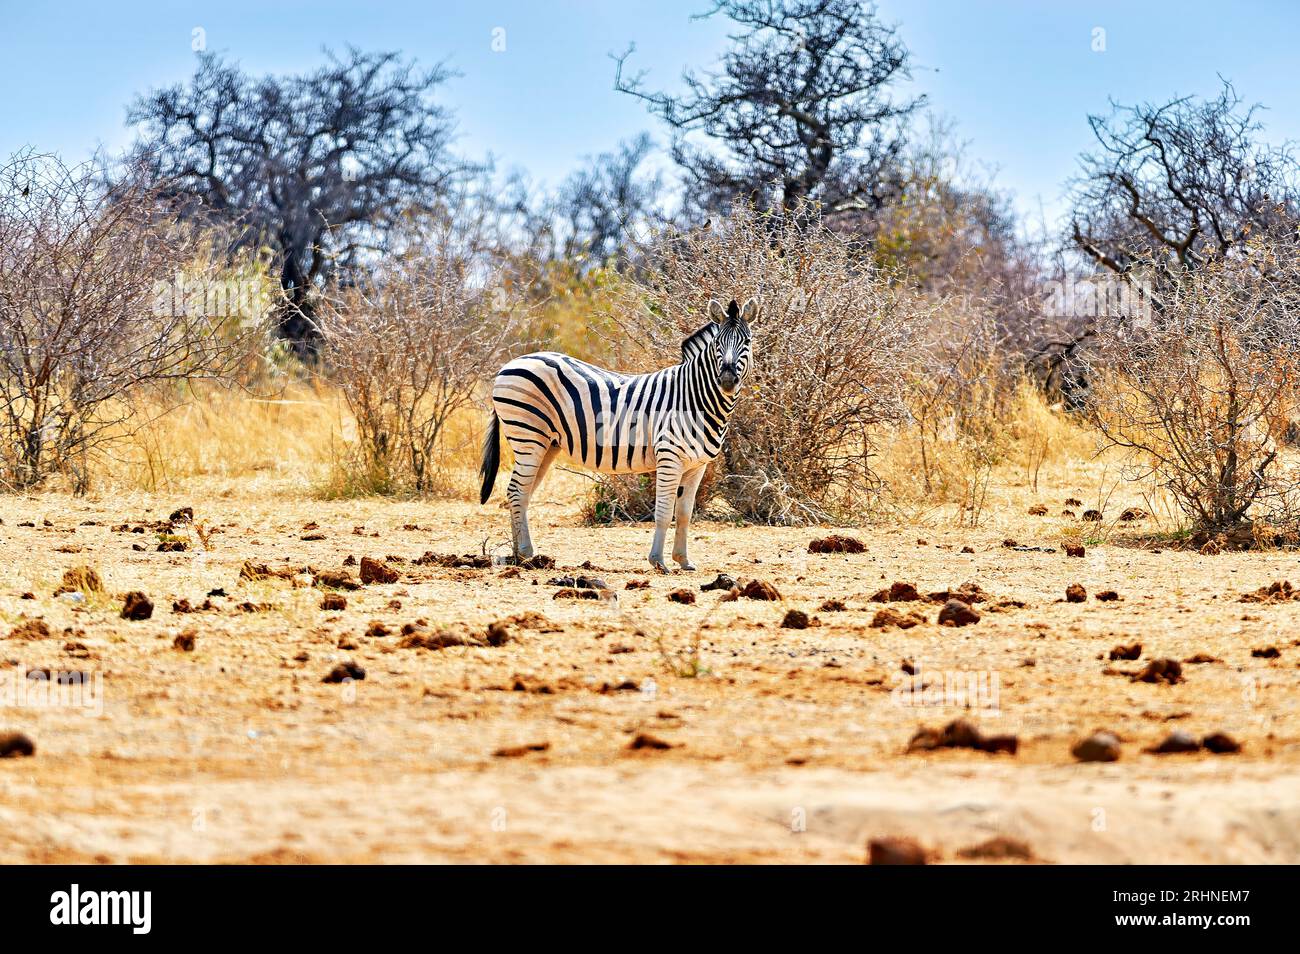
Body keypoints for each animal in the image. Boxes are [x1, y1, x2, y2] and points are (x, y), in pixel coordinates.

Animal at [479, 297, 759, 572]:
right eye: (717, 344)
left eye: (746, 342)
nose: (726, 380)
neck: (694, 397)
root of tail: (512, 363)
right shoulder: (669, 457)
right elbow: (664, 512)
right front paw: (658, 561)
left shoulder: (697, 465)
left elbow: (684, 514)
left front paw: (683, 560)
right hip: (528, 436)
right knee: (517, 490)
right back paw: (526, 553)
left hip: (547, 444)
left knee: (520, 493)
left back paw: (518, 555)